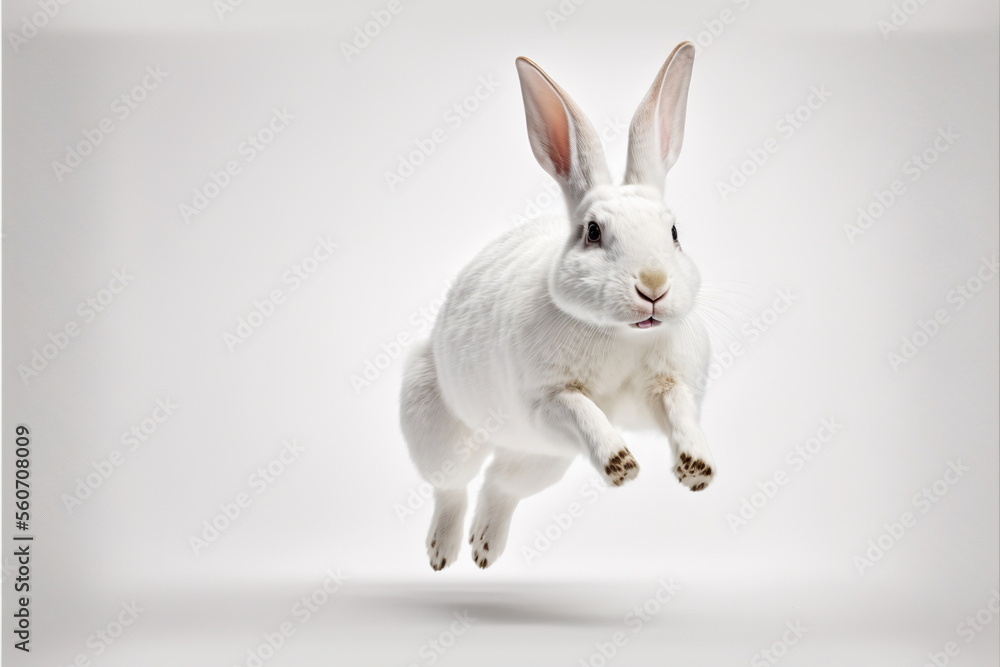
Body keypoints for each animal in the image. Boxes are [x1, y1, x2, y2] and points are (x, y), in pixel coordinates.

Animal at [400, 42, 714, 571]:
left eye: (674, 233)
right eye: (593, 232)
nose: (653, 286)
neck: (624, 334)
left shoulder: (667, 383)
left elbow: (677, 411)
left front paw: (696, 468)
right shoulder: (546, 400)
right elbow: (583, 411)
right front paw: (621, 465)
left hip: (542, 460)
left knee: (499, 487)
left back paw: (484, 551)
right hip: (441, 430)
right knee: (453, 488)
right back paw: (443, 555)